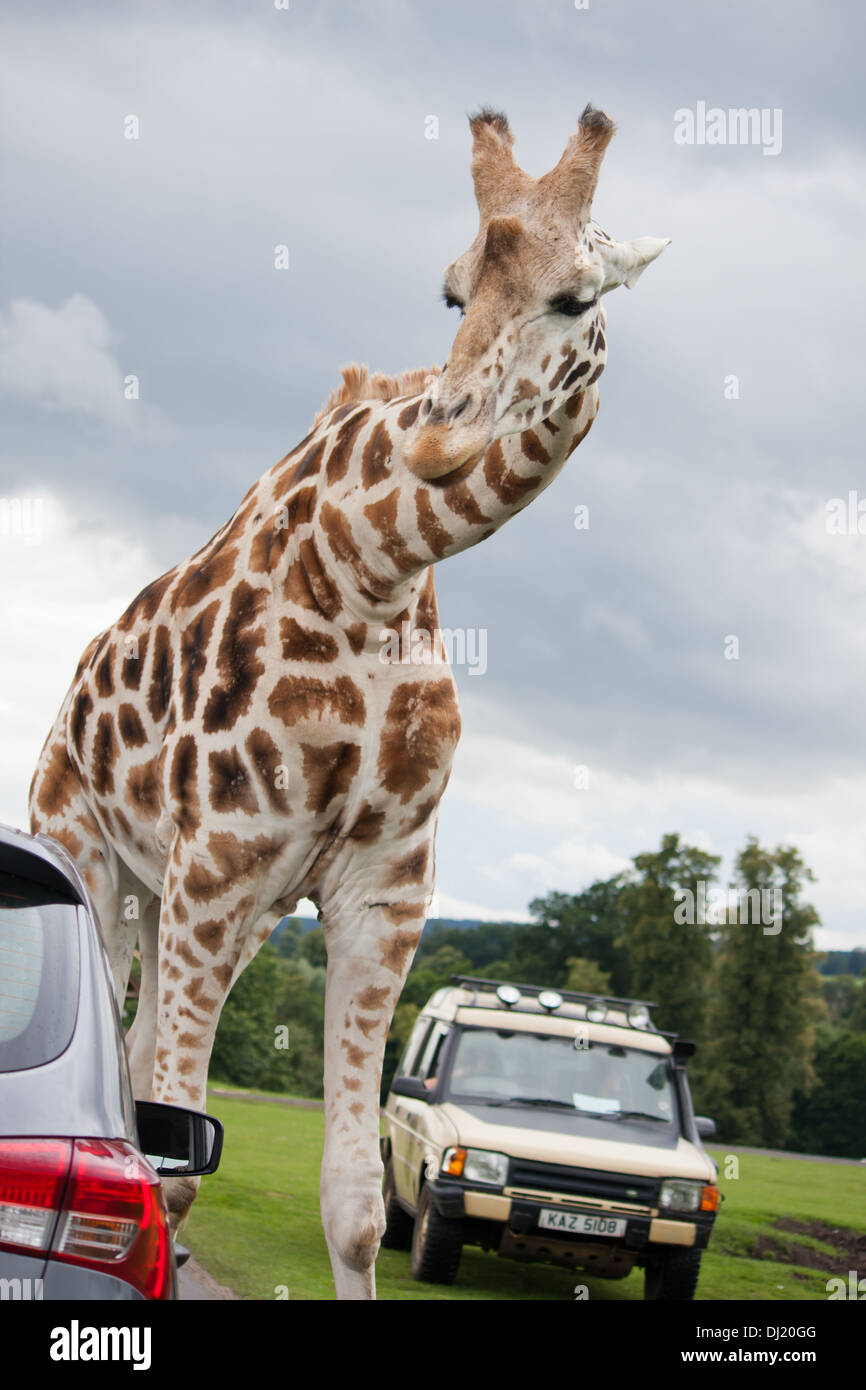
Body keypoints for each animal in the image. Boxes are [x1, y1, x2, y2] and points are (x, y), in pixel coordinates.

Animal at [28, 106, 667, 1299]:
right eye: (452, 291)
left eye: (576, 296)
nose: (444, 431)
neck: (370, 572)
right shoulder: (219, 867)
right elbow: (175, 1167)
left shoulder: (381, 889)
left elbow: (359, 1201)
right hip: (96, 856)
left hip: (203, 905)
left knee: (137, 1061)